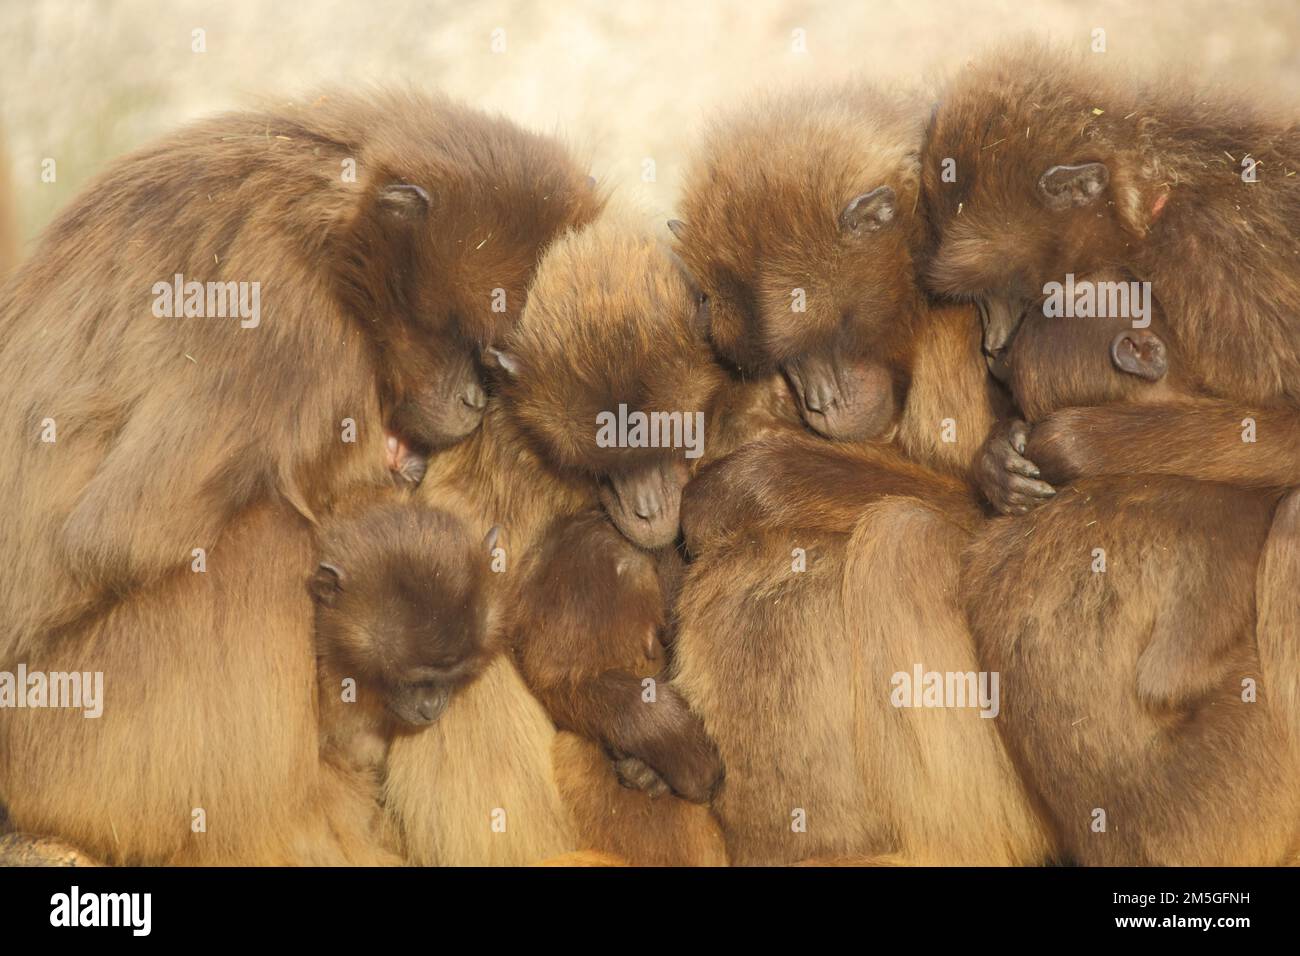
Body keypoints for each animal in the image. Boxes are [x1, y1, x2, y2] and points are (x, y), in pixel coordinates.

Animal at [0, 89, 602, 865]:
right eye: (473, 348)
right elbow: (117, 538)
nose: (475, 400)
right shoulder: (279, 318)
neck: (326, 221)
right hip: (77, 745)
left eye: (494, 369)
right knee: (266, 537)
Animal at [660, 85, 1051, 865]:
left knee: (902, 538)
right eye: (784, 361)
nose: (819, 399)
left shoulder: (957, 326)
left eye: (826, 339)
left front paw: (740, 489)